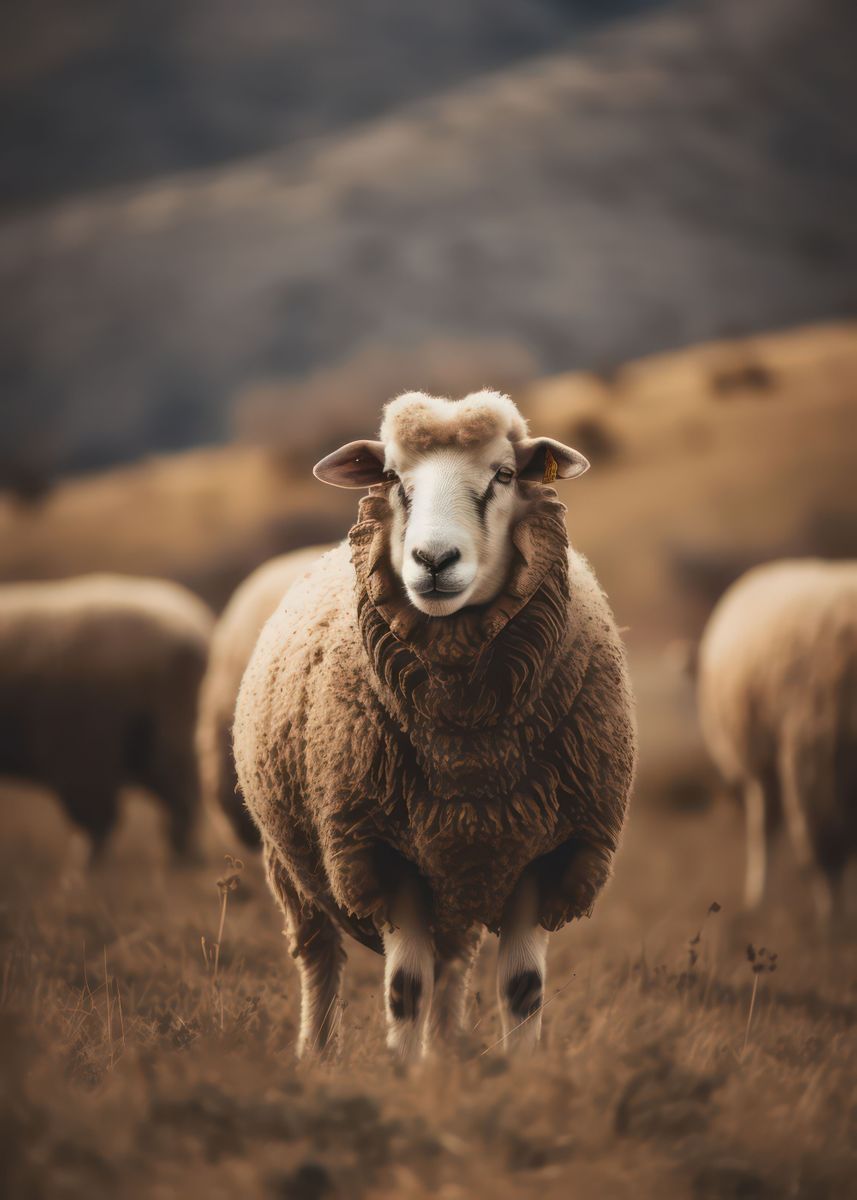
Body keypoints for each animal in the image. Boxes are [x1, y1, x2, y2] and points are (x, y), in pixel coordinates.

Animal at [234, 389, 636, 1061]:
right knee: (320, 957)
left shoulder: (548, 852)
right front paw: (399, 1073)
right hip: (291, 862)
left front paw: (520, 1071)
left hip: (460, 872)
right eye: (395, 480)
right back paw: (317, 1056)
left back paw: (443, 1058)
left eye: (504, 475)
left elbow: (523, 989)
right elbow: (404, 989)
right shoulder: (379, 851)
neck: (469, 748)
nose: (433, 560)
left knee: (453, 962)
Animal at [697, 558, 857, 921]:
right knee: (768, 829)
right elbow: (826, 851)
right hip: (769, 762)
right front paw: (834, 919)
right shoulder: (813, 763)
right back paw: (760, 903)